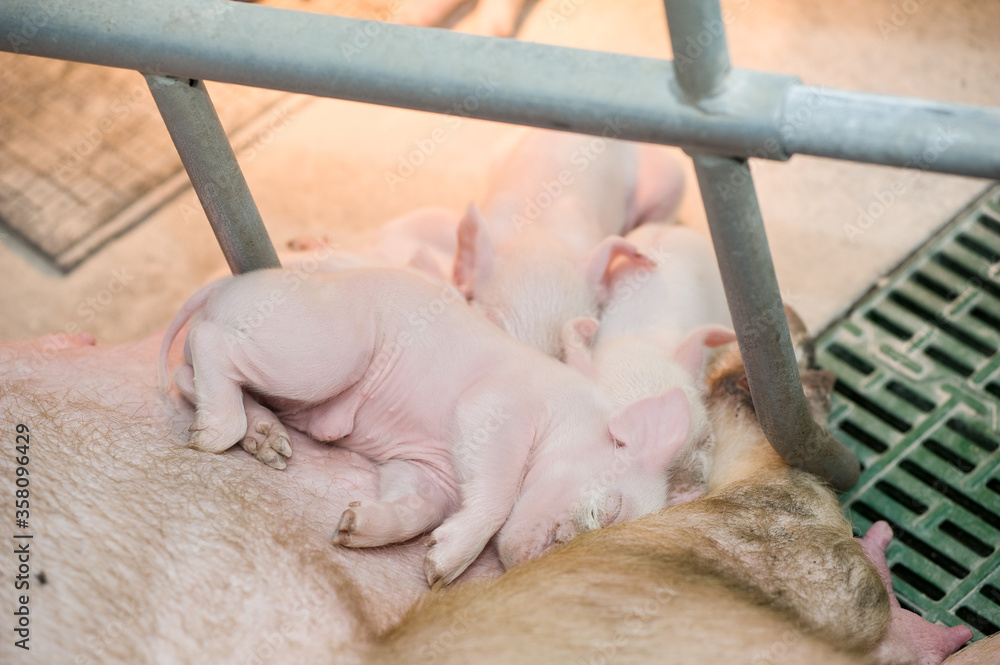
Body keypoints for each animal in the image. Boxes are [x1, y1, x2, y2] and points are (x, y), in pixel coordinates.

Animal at [157, 266, 694, 585]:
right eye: (608, 510)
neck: (573, 415)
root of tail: (225, 286)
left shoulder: (424, 467)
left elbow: (419, 506)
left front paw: (353, 529)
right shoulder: (495, 407)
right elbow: (498, 494)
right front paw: (443, 570)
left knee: (191, 373)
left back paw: (271, 444)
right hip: (324, 348)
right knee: (209, 343)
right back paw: (210, 438)